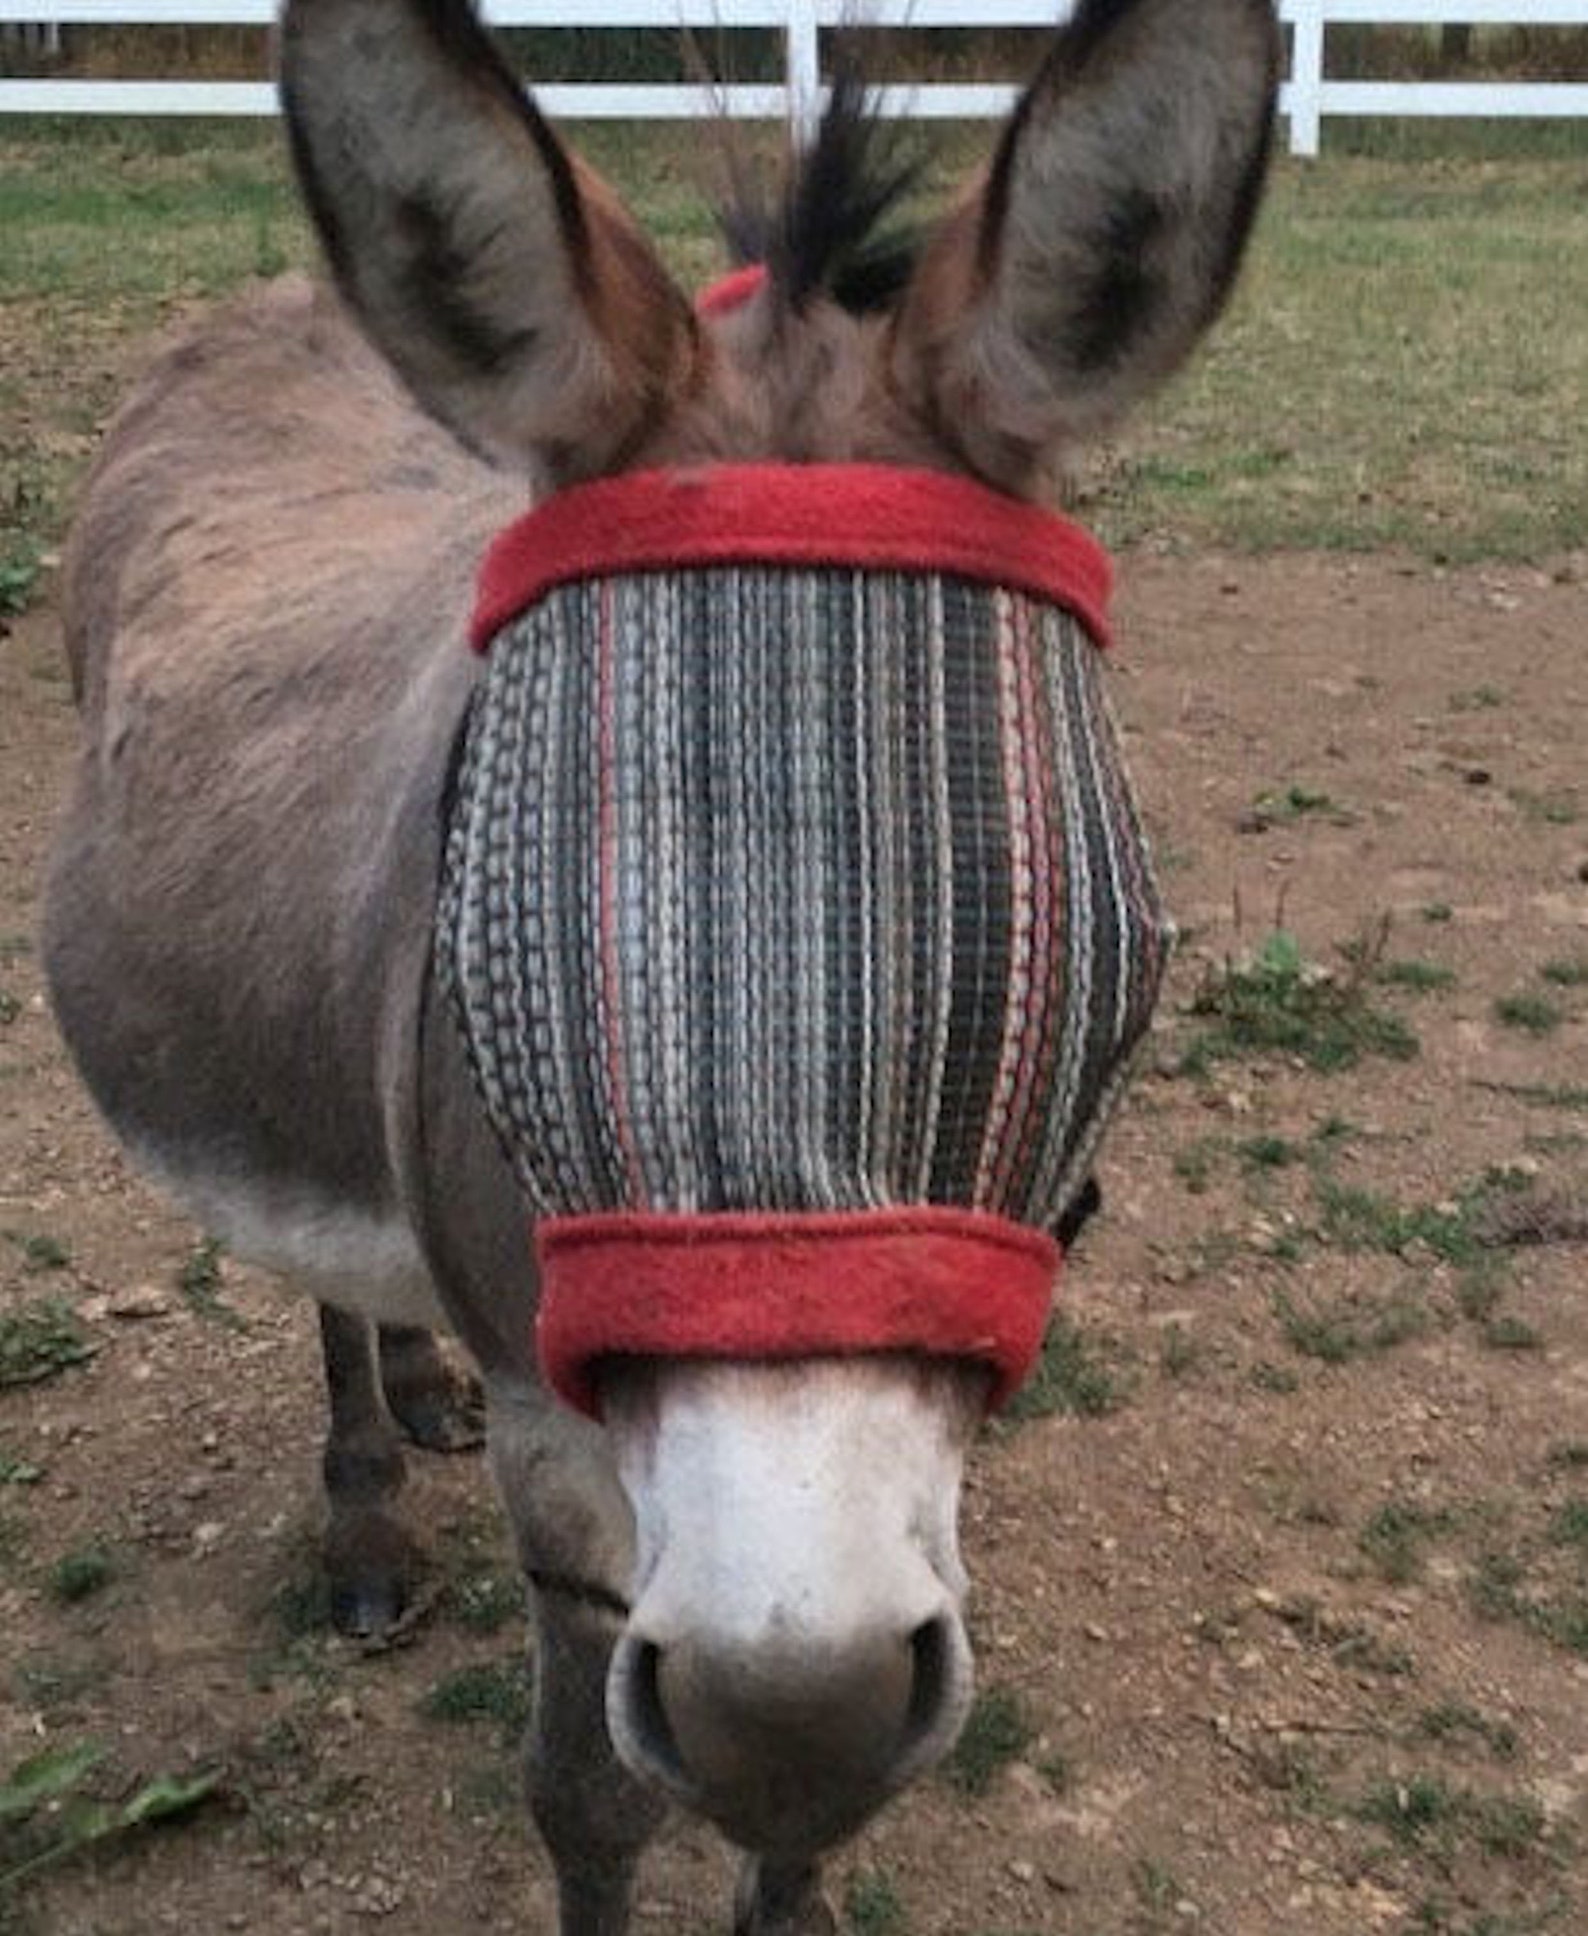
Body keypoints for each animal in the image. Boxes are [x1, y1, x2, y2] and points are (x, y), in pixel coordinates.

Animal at [41, 2, 1279, 1929]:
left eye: (1117, 938)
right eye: (490, 925)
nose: (791, 1706)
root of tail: (290, 298)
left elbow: (805, 1829)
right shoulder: (567, 1457)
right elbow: (589, 1796)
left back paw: (414, 1388)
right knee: (323, 1282)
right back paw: (366, 1516)